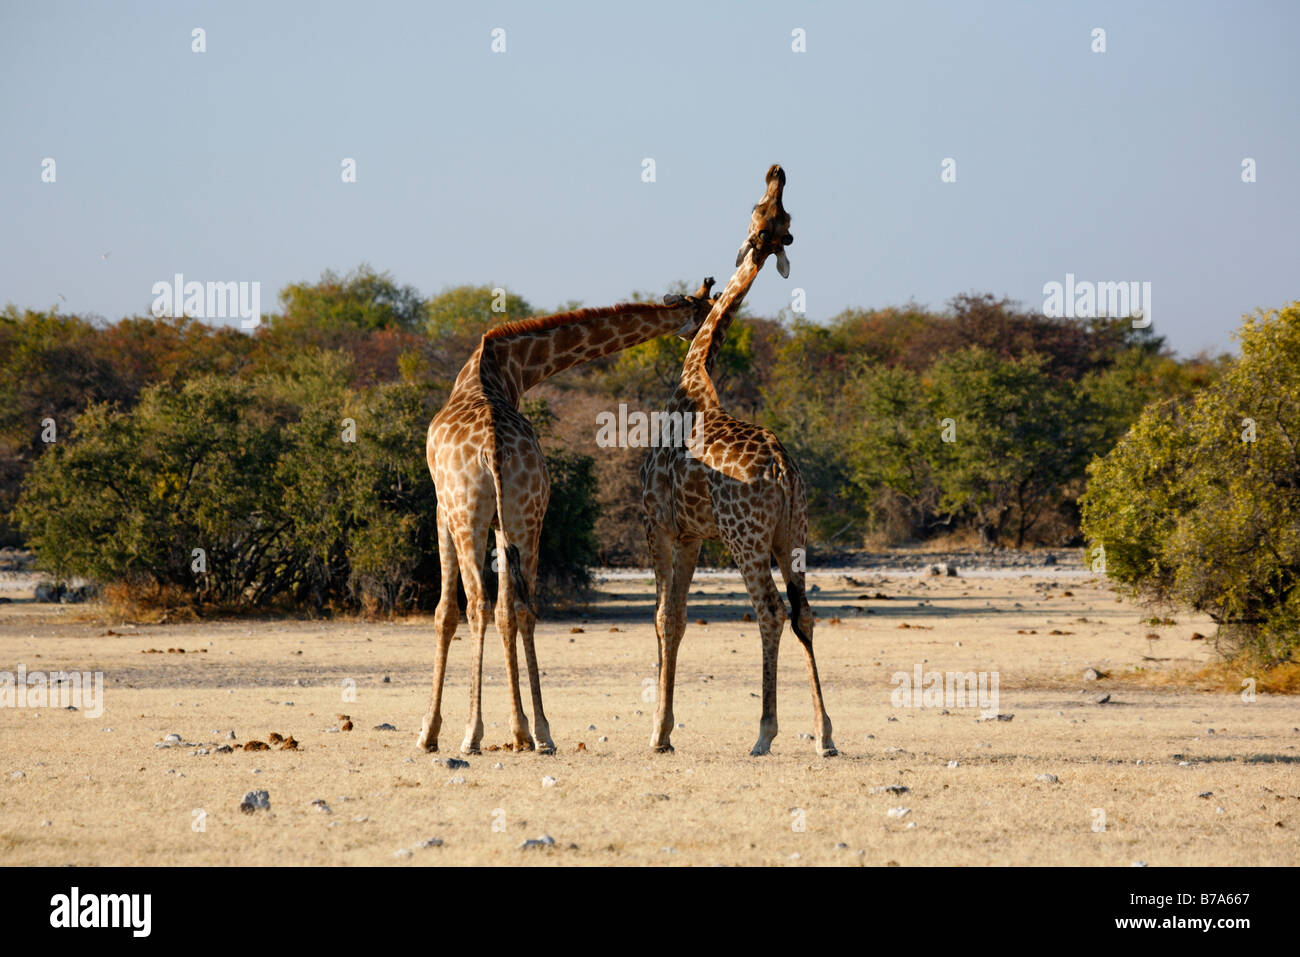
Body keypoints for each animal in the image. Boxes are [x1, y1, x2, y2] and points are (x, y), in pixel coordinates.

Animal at [418, 290, 716, 756]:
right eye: (703, 310)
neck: (503, 371)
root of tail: (493, 449)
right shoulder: (497, 521)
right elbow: (504, 613)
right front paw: (517, 730)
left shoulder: (442, 509)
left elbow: (446, 613)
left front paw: (429, 732)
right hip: (527, 515)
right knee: (521, 608)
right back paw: (539, 732)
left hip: (472, 516)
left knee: (478, 605)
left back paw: (474, 734)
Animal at [640, 164, 837, 757]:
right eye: (775, 215)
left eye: (760, 208)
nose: (777, 171)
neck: (693, 374)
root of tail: (781, 470)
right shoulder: (693, 534)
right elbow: (678, 619)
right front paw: (665, 727)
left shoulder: (661, 523)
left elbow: (664, 617)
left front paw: (658, 733)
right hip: (792, 530)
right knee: (805, 611)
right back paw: (825, 734)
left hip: (744, 536)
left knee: (770, 610)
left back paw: (764, 733)